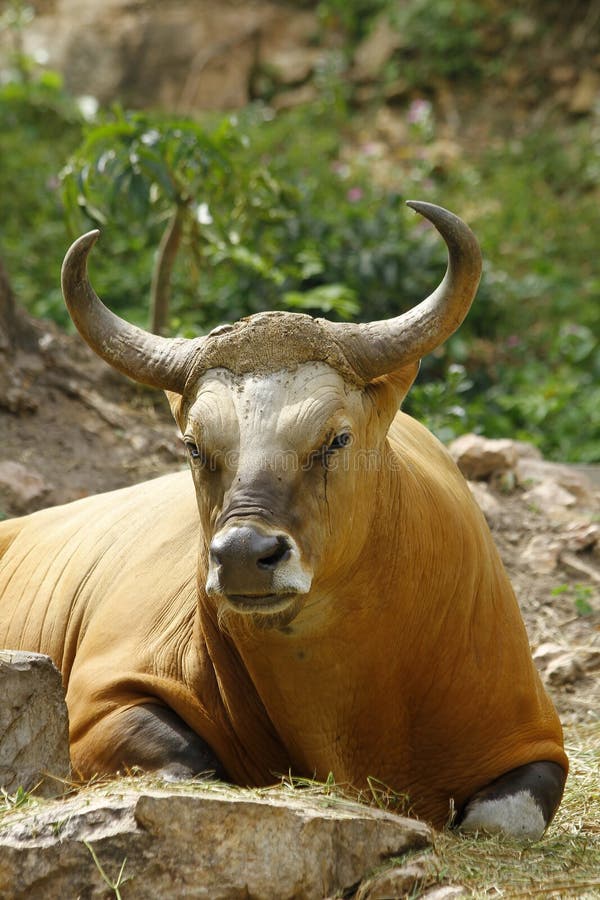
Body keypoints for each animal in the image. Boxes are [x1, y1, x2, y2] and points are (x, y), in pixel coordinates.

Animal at [0, 202, 567, 839]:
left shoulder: (537, 740)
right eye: (194, 445)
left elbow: (500, 818)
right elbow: (189, 765)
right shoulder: (98, 703)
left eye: (337, 438)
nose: (244, 557)